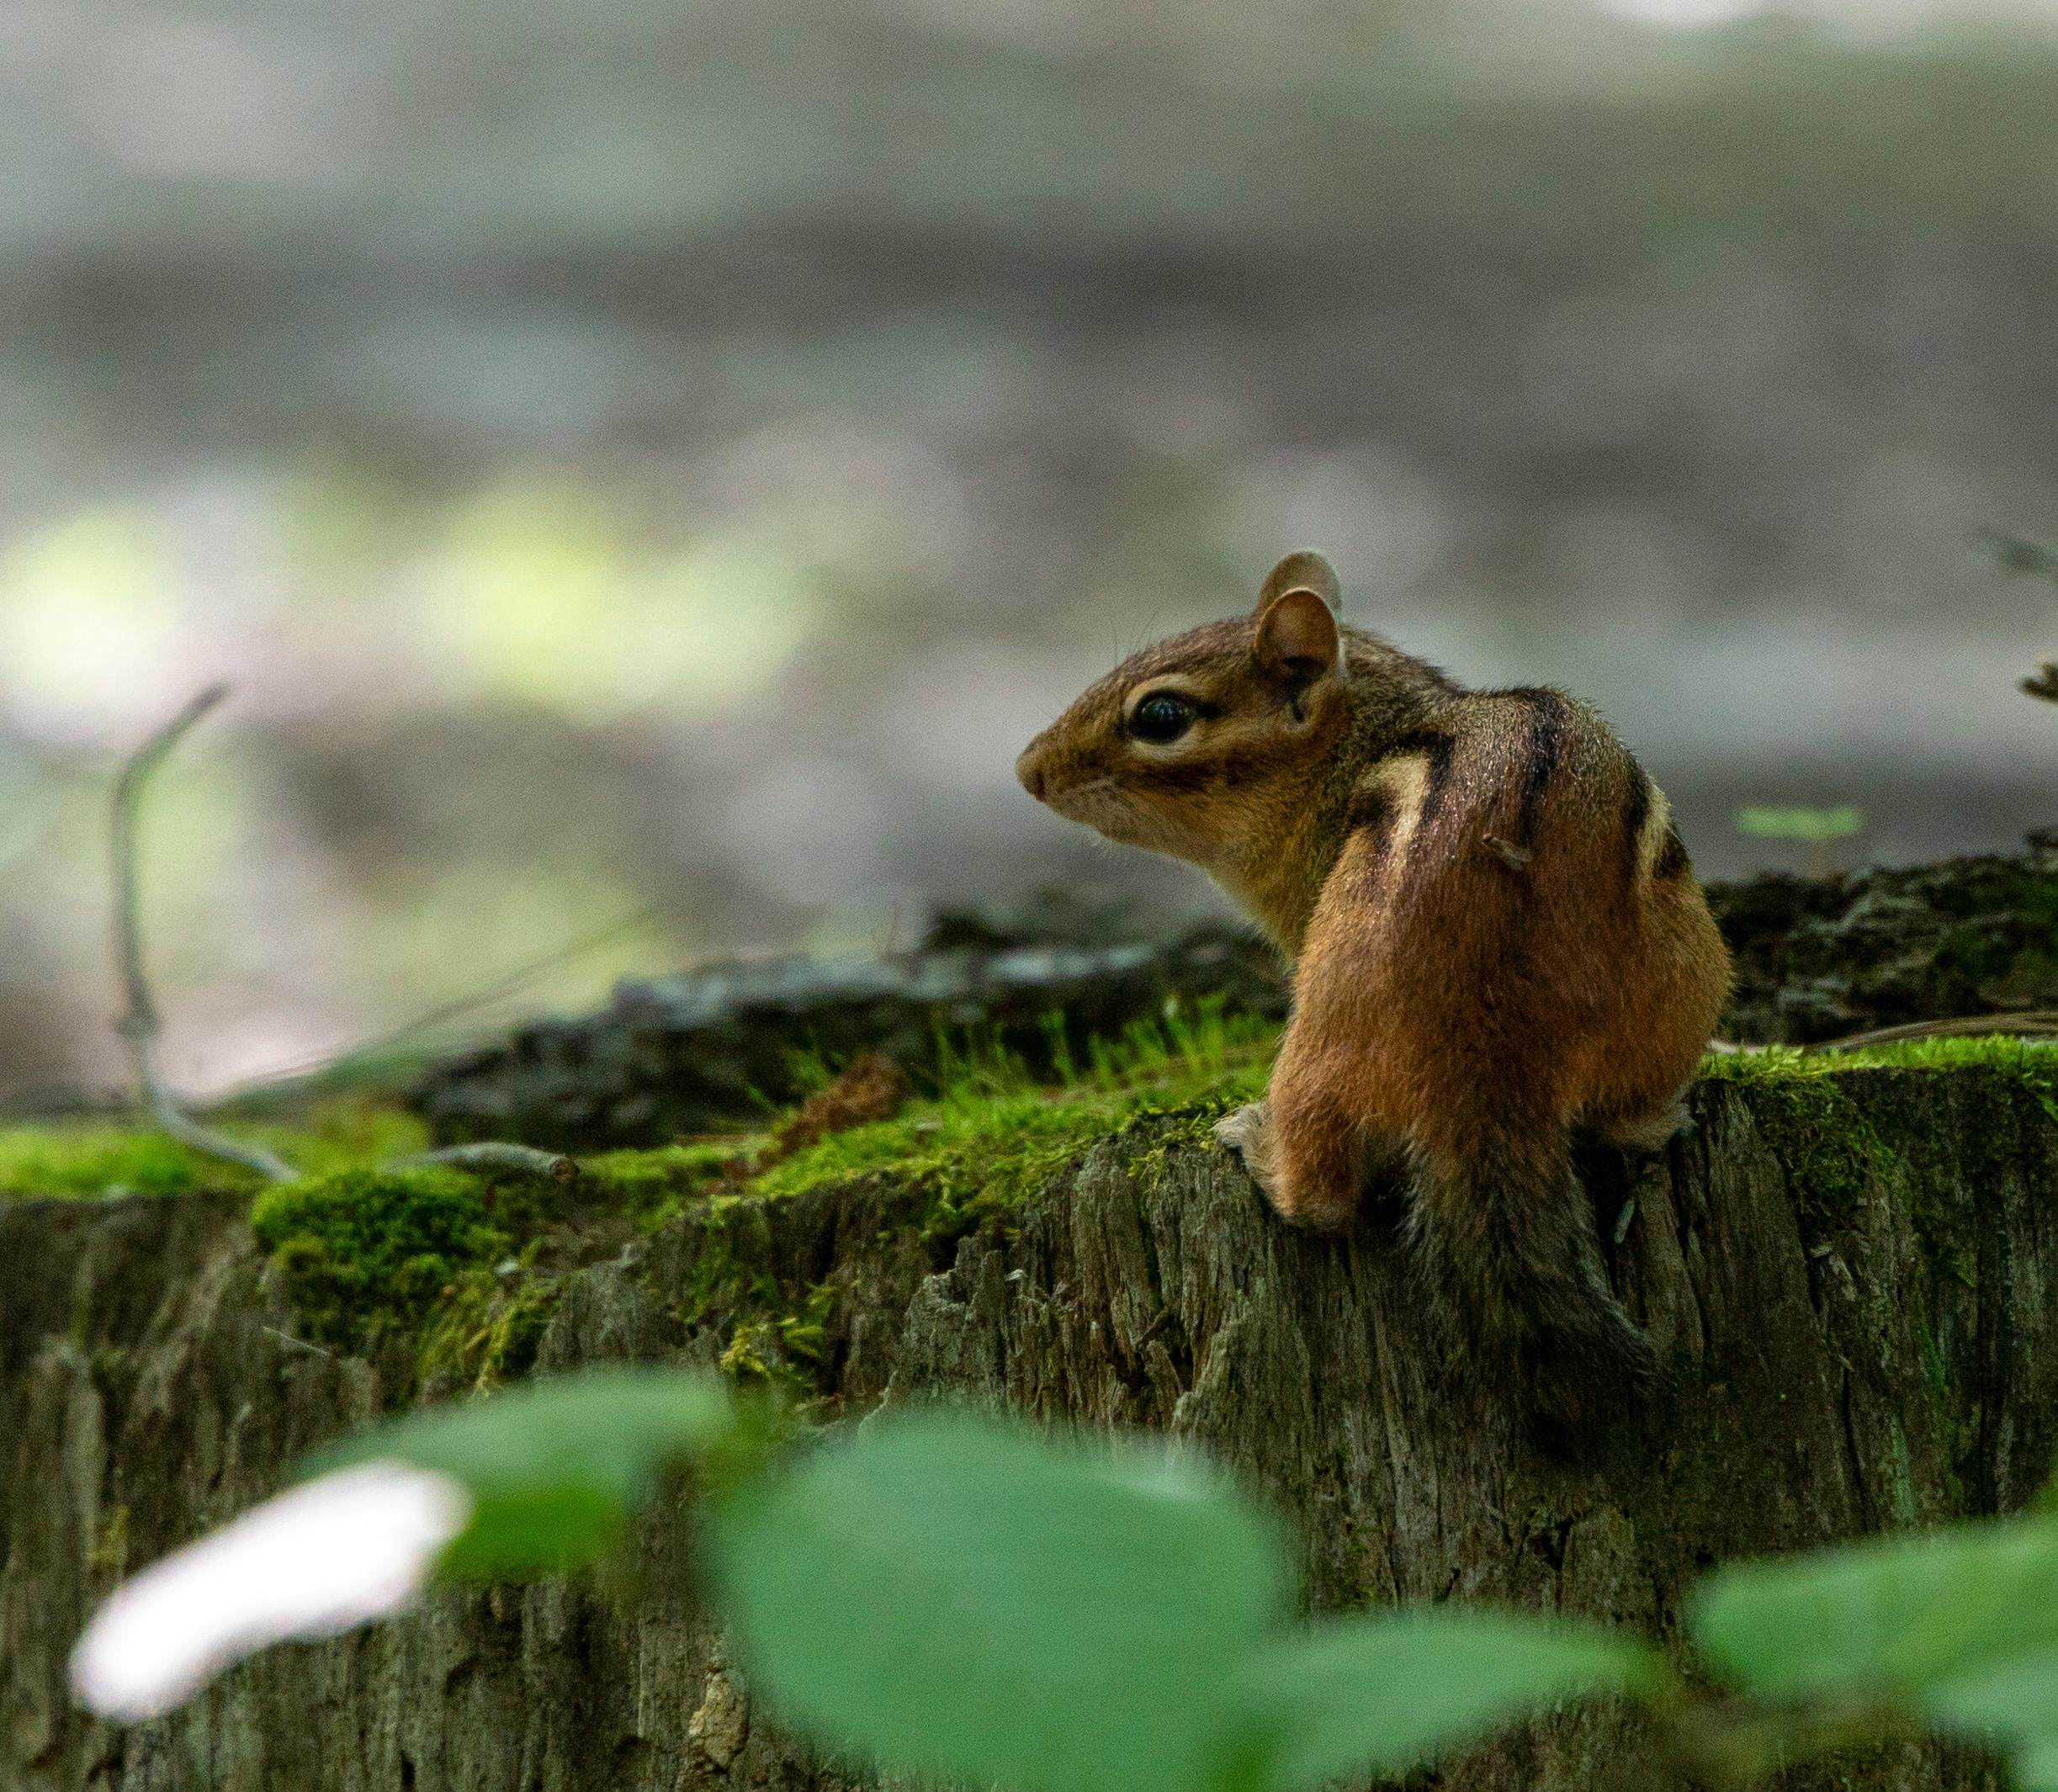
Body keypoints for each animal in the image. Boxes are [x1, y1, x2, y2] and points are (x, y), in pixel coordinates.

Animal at [1014, 550, 1731, 1442]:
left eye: (1161, 715)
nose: (1028, 771)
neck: (1360, 740)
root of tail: (1489, 1060)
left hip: (1320, 1042)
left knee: (1322, 1197)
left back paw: (1256, 1141)